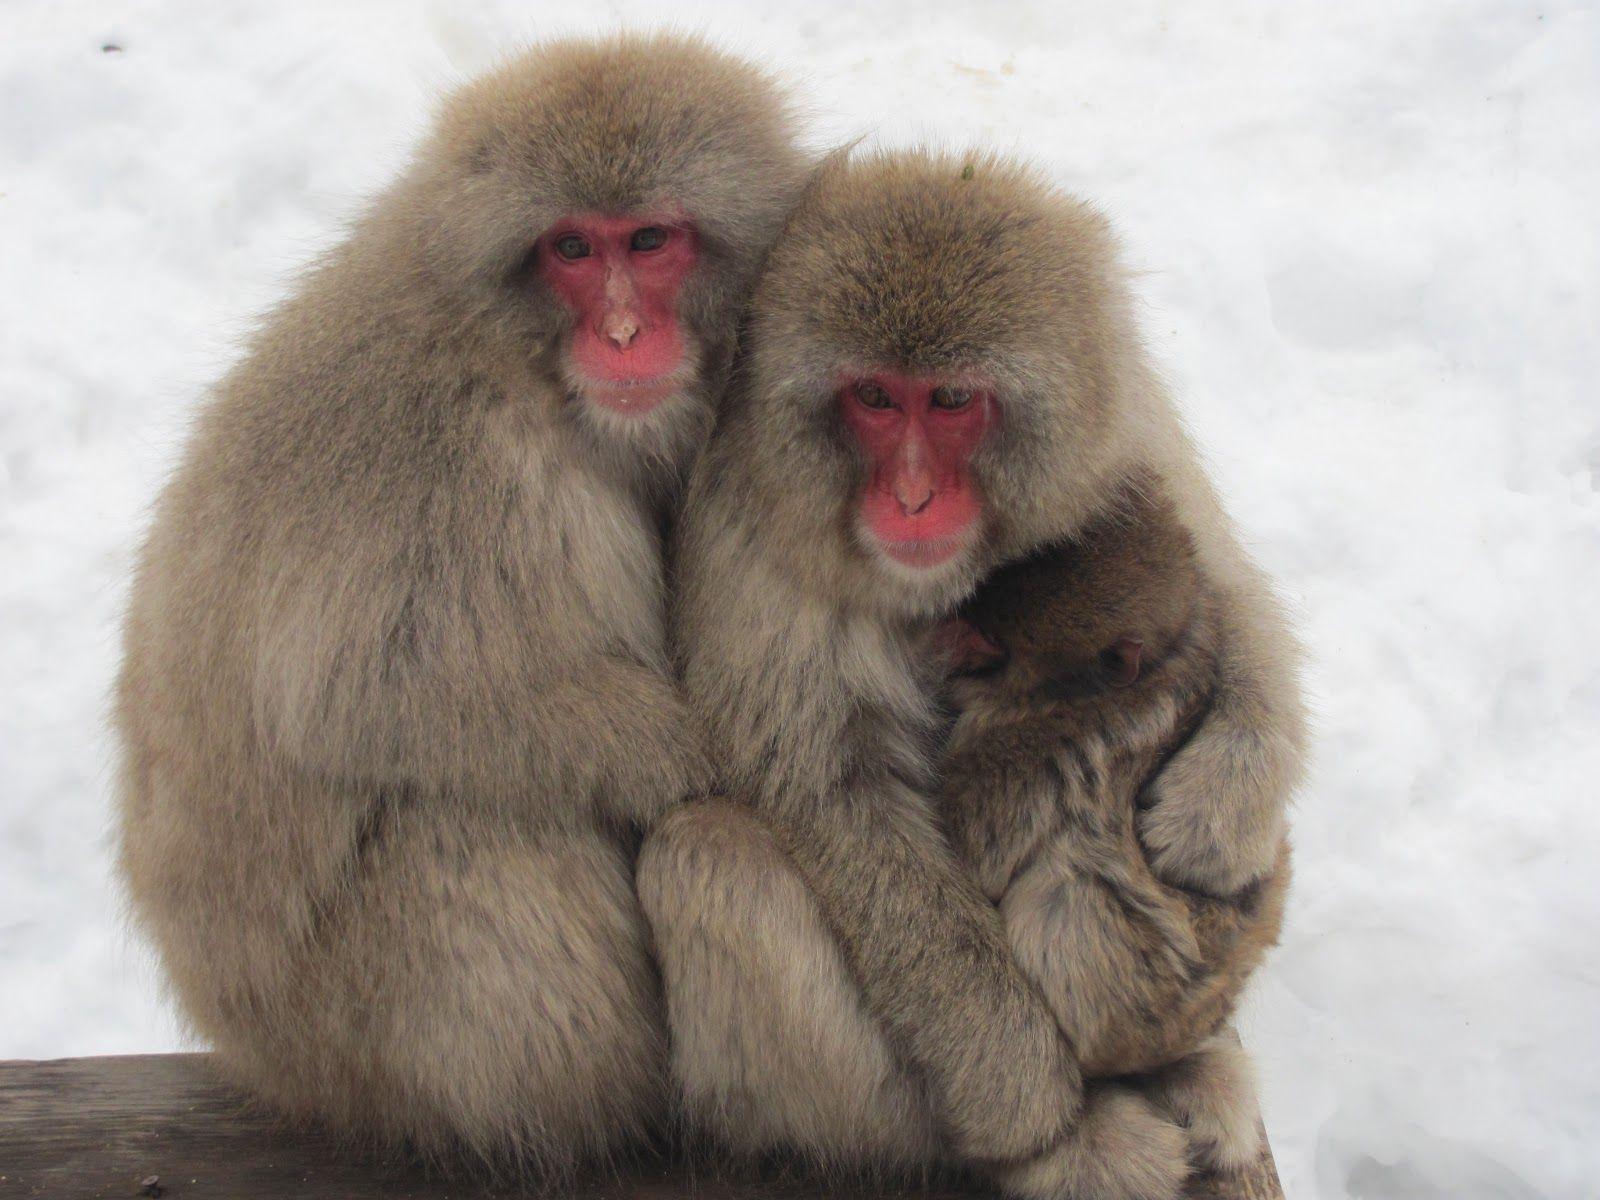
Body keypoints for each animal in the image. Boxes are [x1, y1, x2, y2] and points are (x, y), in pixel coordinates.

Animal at [112, 34, 808, 1173]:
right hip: (354, 1032)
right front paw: (689, 758)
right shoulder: (458, 459)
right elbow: (362, 693)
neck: (519, 353)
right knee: (475, 820)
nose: (625, 332)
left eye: (648, 239)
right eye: (570, 248)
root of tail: (262, 1060)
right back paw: (602, 1111)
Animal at [936, 477, 1291, 1171]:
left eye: (988, 646)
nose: (940, 640)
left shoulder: (1044, 741)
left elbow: (969, 829)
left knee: (1069, 899)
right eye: (965, 616)